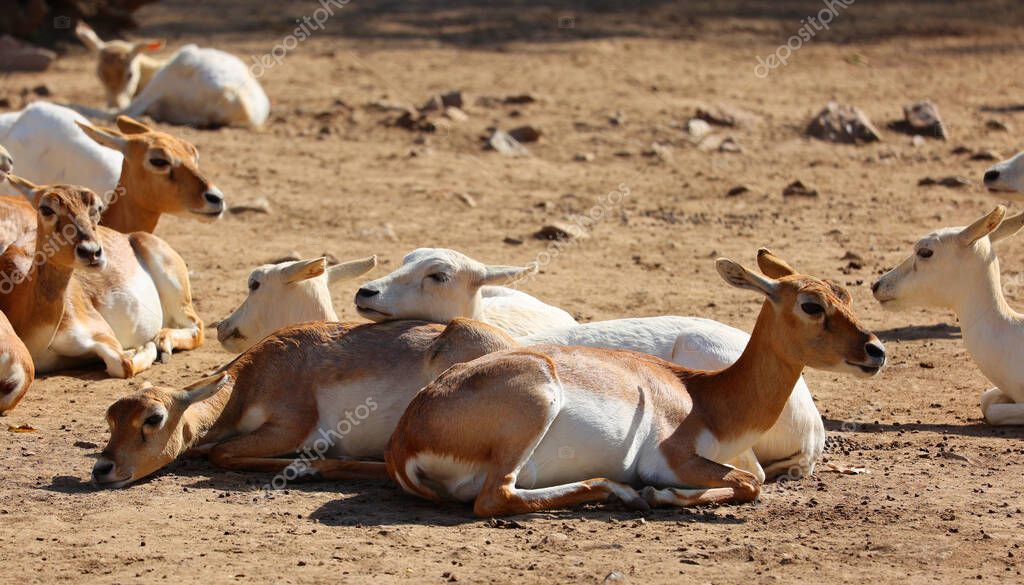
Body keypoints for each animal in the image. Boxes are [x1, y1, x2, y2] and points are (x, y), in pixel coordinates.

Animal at [0, 175, 204, 377]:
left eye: (97, 208)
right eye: (46, 208)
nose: (91, 252)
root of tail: (129, 236)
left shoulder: (102, 336)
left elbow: (123, 364)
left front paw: (140, 348)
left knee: (197, 326)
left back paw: (162, 341)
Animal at [75, 21, 270, 128]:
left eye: (129, 74)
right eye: (99, 73)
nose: (114, 102)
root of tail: (238, 102)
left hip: (174, 68)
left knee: (124, 112)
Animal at [92, 319, 516, 488]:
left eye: (154, 418)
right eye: (111, 418)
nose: (102, 469)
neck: (252, 379)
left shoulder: (289, 428)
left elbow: (220, 454)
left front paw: (306, 465)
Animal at [386, 252, 886, 516]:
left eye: (846, 295)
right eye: (811, 305)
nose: (875, 350)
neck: (706, 397)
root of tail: (404, 438)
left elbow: (753, 478)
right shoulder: (673, 456)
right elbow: (749, 483)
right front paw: (659, 493)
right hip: (536, 404)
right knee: (495, 498)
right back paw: (619, 491)